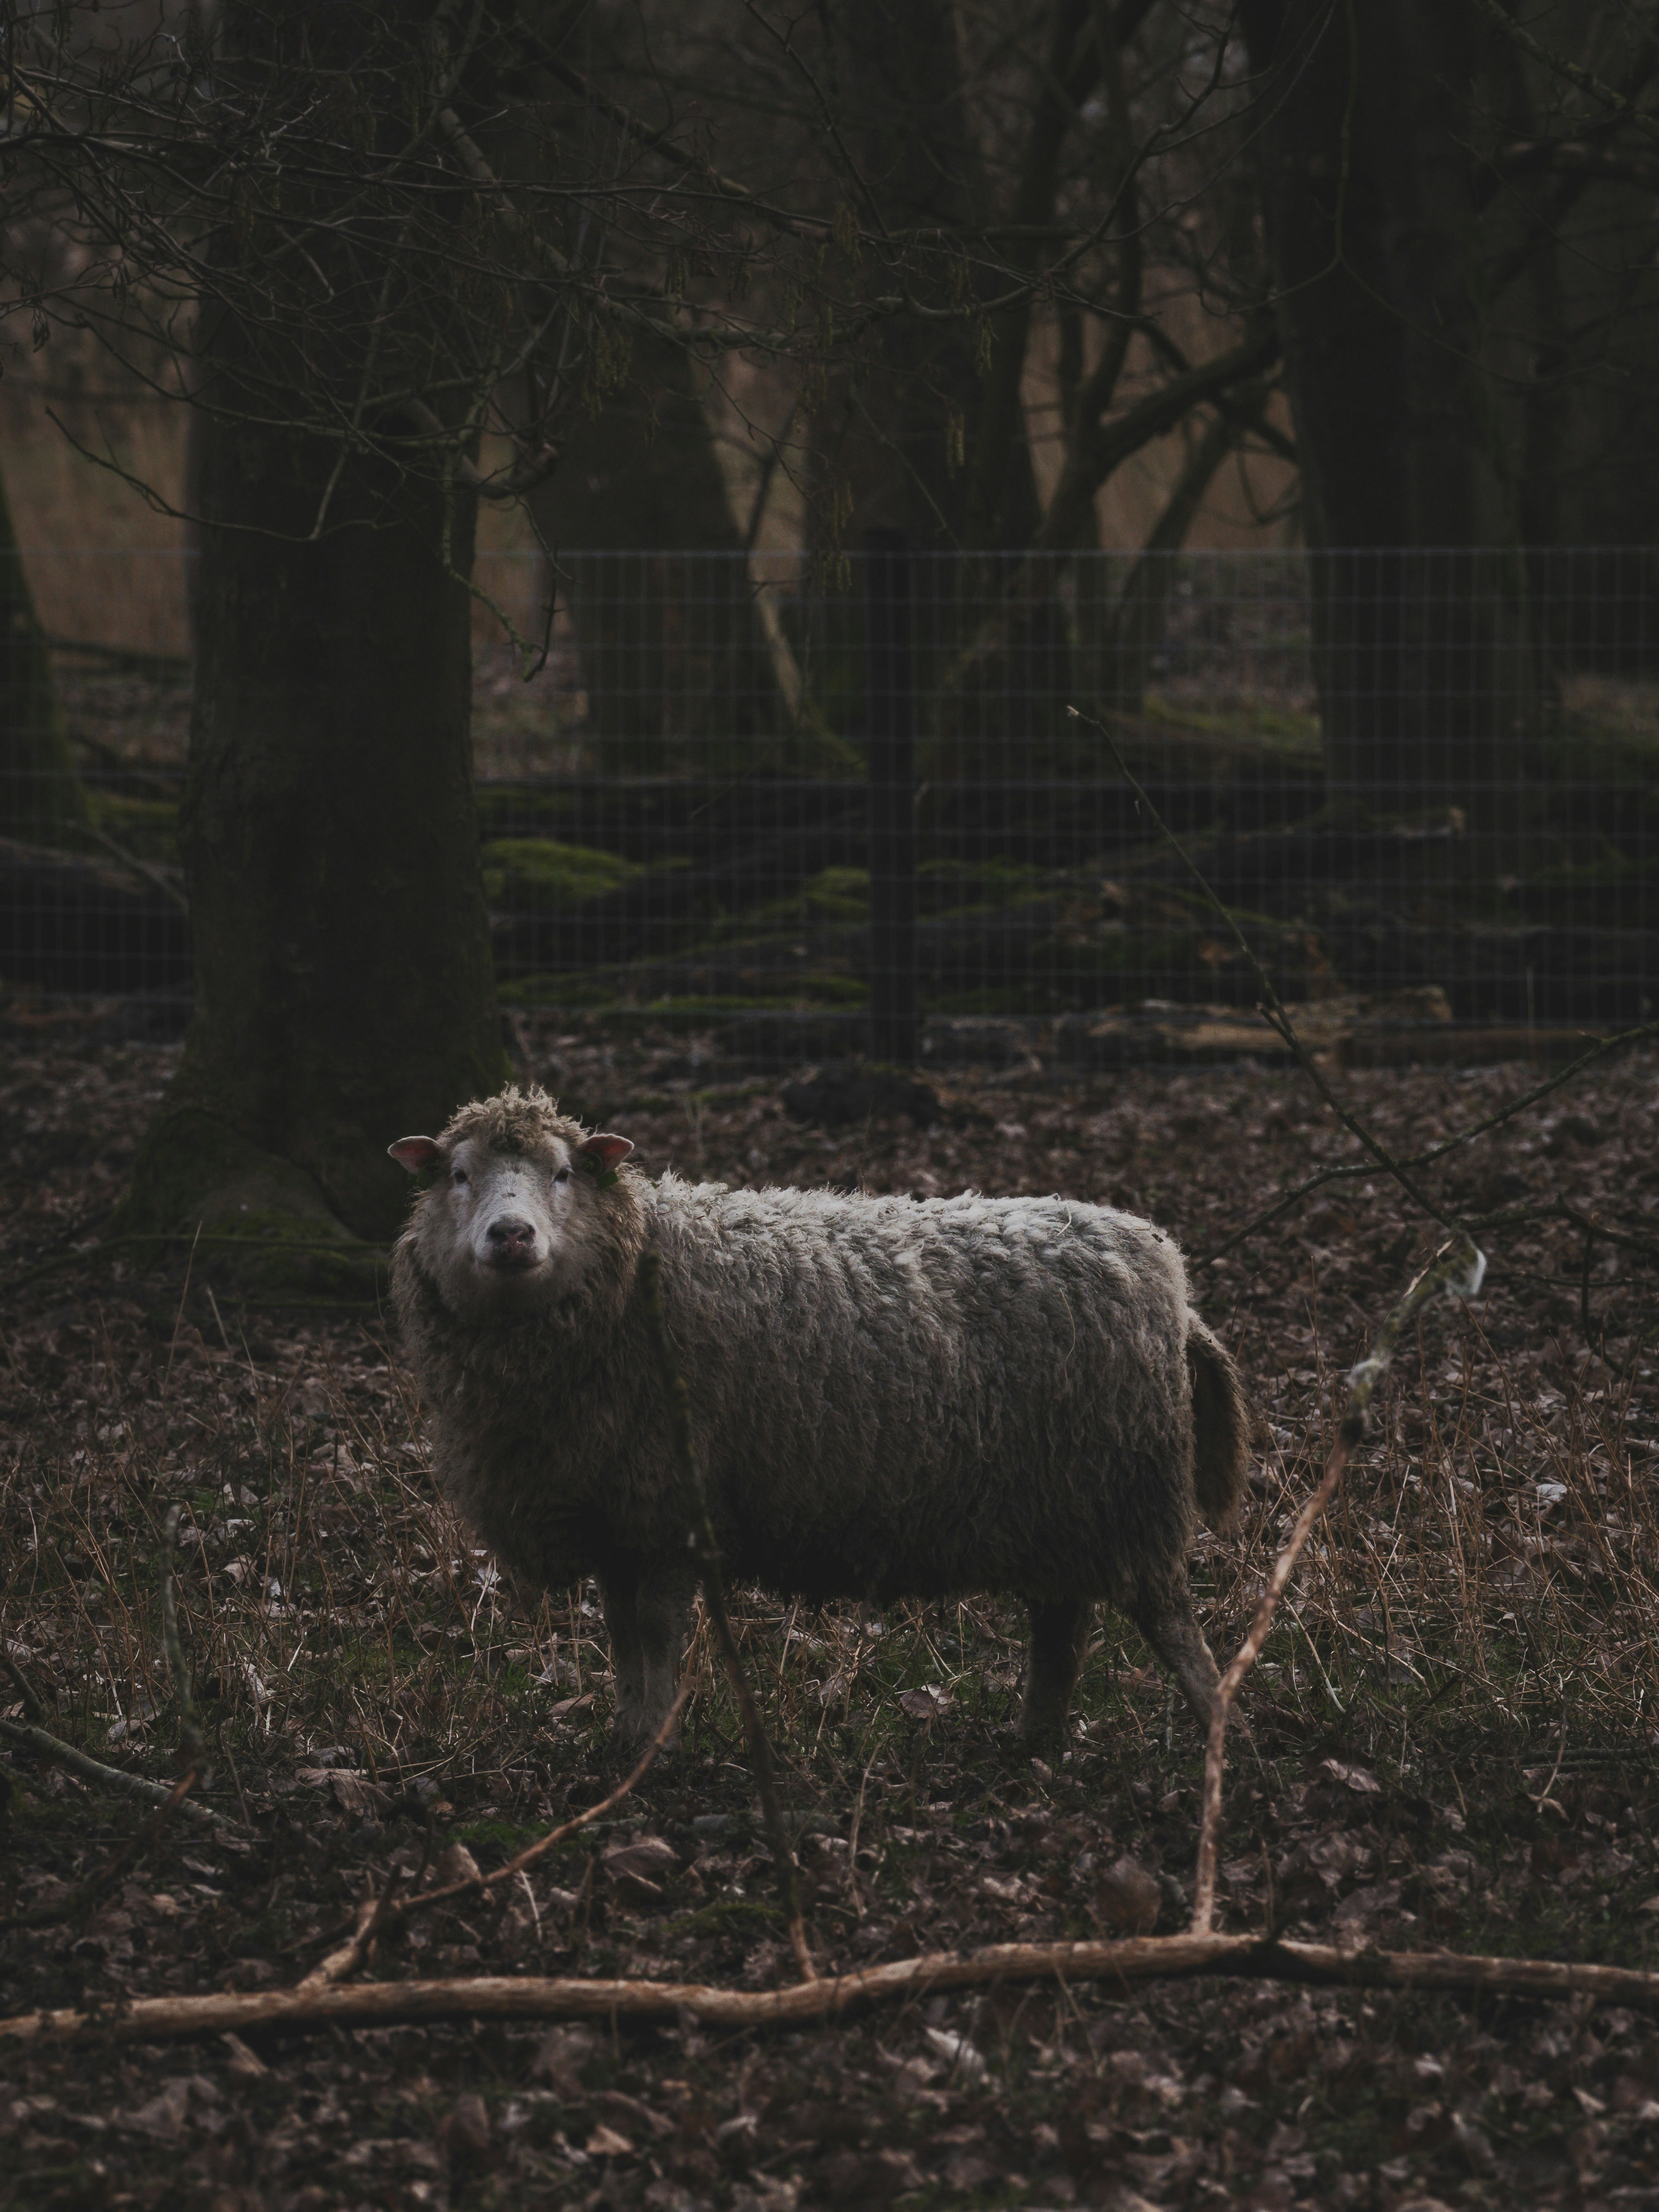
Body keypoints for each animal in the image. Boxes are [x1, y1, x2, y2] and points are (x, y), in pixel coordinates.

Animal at [389, 1084, 1249, 1755]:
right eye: (458, 1174)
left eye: (564, 1172)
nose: (510, 1235)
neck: (633, 1273)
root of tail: (1168, 1275)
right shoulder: (616, 1514)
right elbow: (623, 1637)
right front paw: (628, 1736)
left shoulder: (669, 1509)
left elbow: (656, 1634)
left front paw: (653, 1745)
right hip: (1059, 1504)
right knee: (1059, 1629)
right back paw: (1031, 1739)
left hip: (1125, 1492)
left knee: (1171, 1626)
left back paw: (1214, 1729)